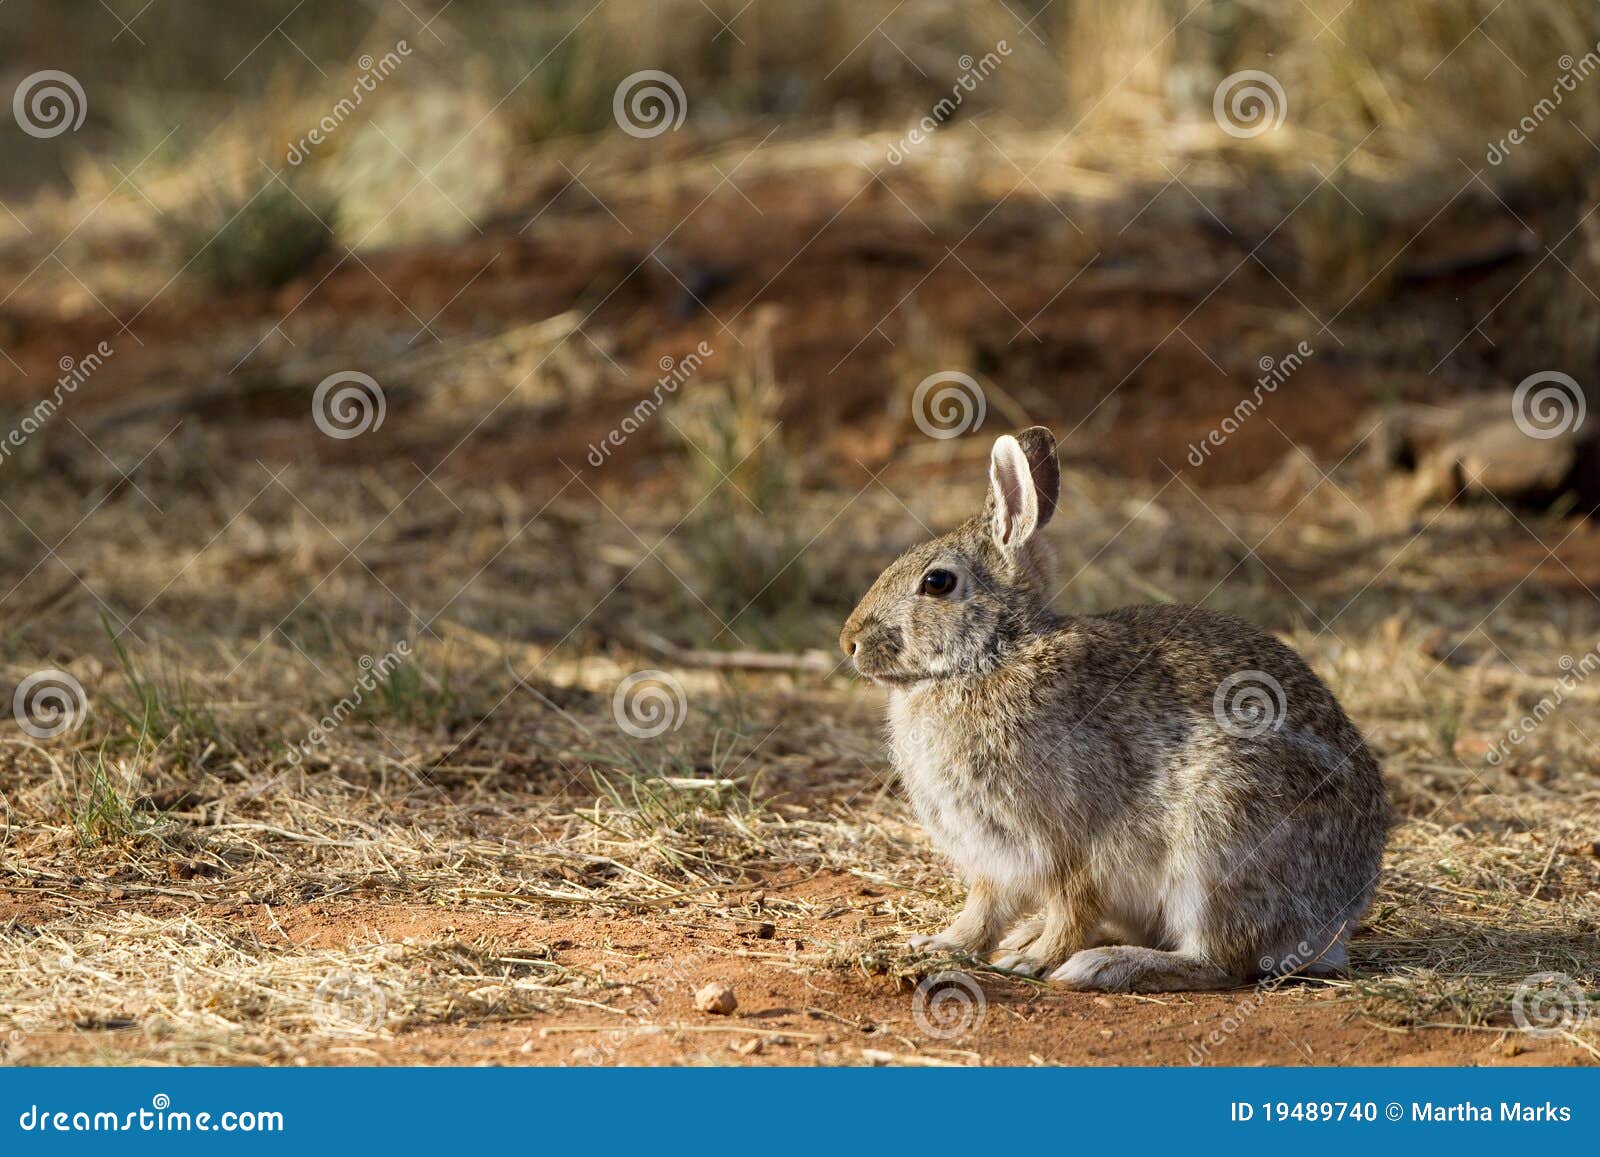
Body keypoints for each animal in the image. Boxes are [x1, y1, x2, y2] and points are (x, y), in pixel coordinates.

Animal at [838, 427, 1390, 992]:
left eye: (937, 583)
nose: (848, 642)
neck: (995, 655)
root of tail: (1337, 918)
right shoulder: (995, 855)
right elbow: (984, 908)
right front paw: (944, 944)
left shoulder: (1075, 841)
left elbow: (1073, 903)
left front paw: (1033, 963)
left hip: (1218, 840)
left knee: (1219, 959)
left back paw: (1100, 964)